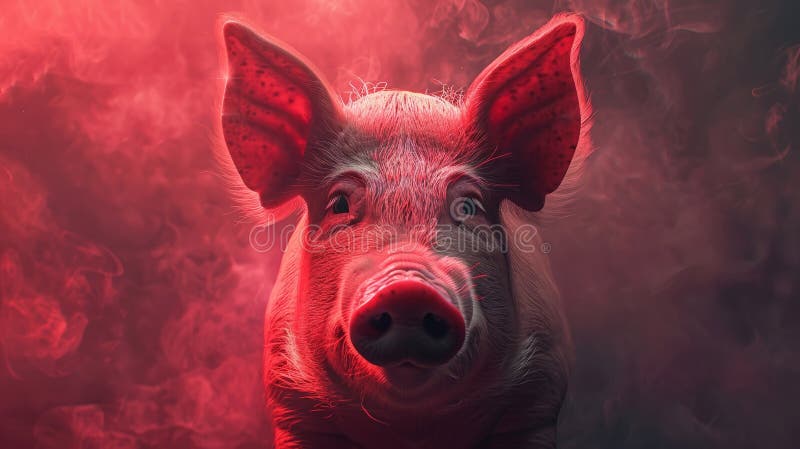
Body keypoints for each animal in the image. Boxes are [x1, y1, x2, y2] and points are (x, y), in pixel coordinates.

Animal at [219, 13, 589, 449]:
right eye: (339, 204)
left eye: (469, 206)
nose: (407, 287)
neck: (410, 429)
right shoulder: (293, 405)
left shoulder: (537, 399)